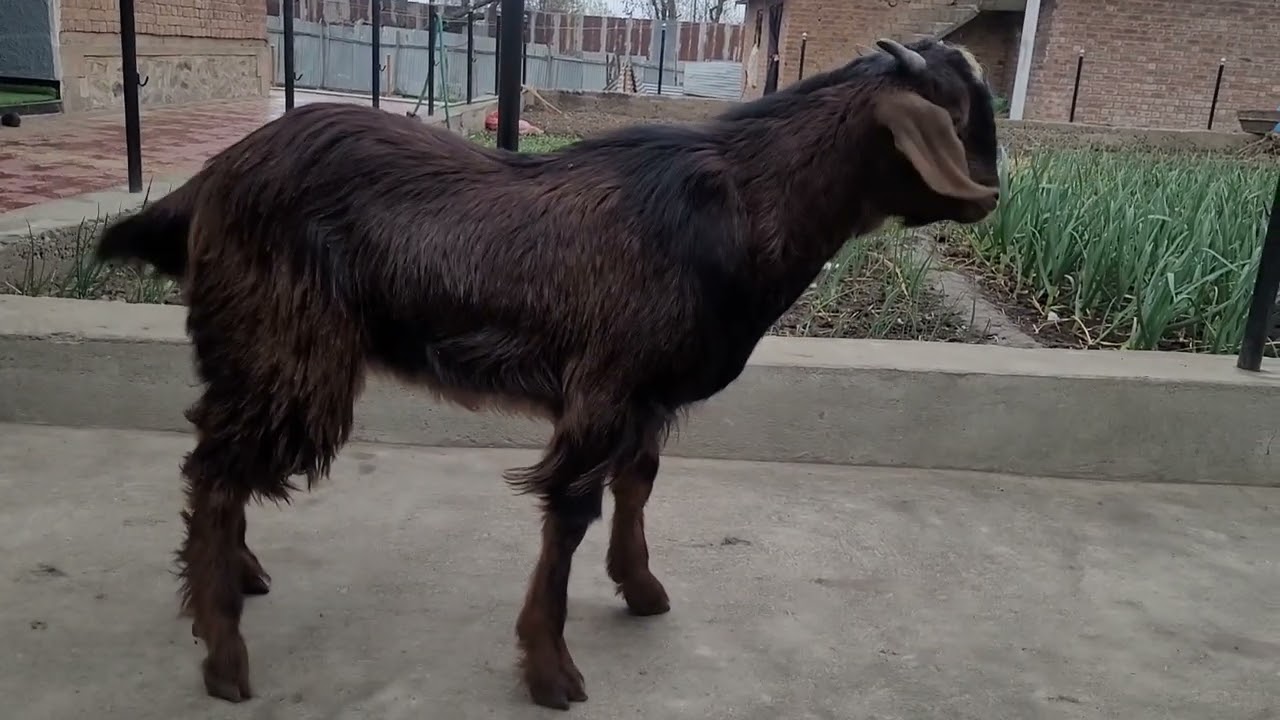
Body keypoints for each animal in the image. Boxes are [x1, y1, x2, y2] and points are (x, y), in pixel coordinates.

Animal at [95, 37, 1001, 710]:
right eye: (961, 116)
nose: (993, 197)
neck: (742, 203)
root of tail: (207, 183)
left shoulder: (644, 393)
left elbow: (638, 484)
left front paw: (641, 586)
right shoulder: (603, 388)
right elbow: (569, 513)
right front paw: (551, 669)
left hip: (256, 351)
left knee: (214, 454)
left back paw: (239, 576)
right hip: (291, 351)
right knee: (215, 467)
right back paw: (223, 655)